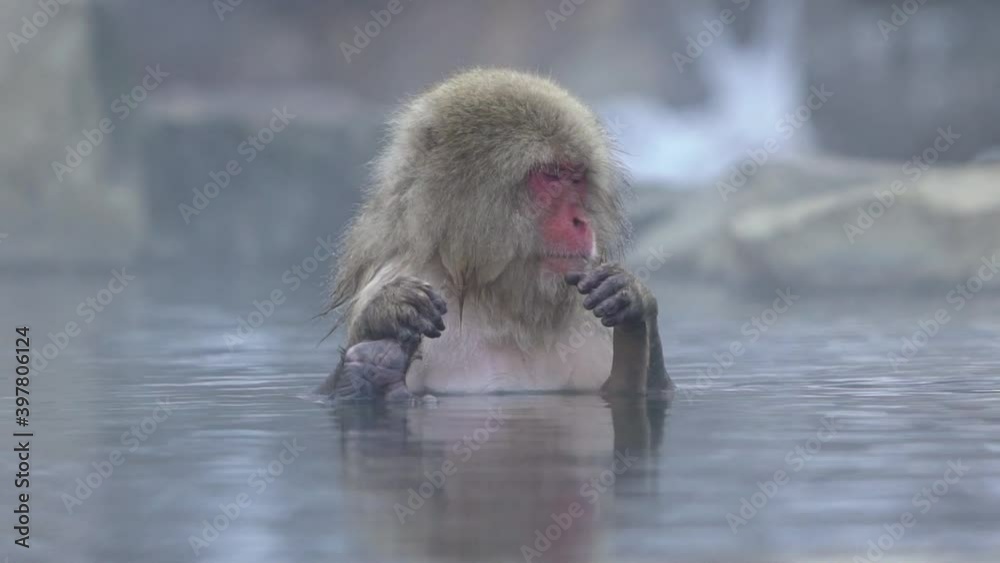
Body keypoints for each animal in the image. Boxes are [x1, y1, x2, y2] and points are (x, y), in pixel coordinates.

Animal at [316, 68, 671, 400]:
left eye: (576, 178)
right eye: (551, 176)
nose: (580, 221)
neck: (497, 299)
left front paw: (634, 302)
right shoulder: (398, 277)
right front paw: (377, 351)